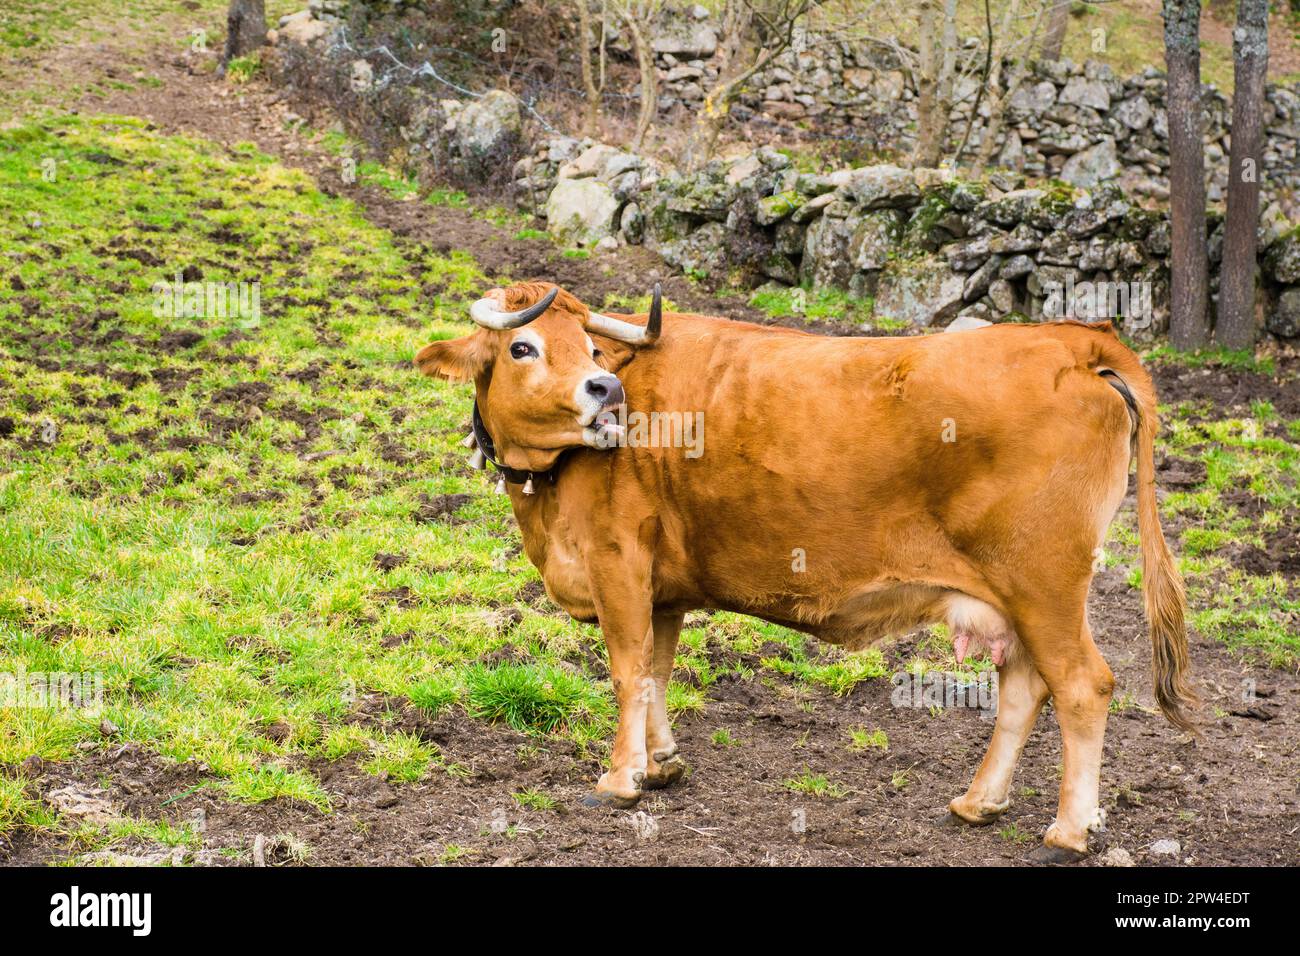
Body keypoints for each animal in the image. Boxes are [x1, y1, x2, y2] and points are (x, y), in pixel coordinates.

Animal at [415, 281, 1196, 862]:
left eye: (594, 346)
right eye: (523, 345)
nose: (605, 389)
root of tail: (1068, 338)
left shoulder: (619, 566)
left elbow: (627, 671)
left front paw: (620, 776)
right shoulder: (663, 586)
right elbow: (657, 670)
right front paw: (661, 761)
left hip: (1043, 583)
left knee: (1083, 685)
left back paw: (1068, 830)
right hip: (1019, 597)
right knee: (1025, 686)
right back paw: (979, 802)